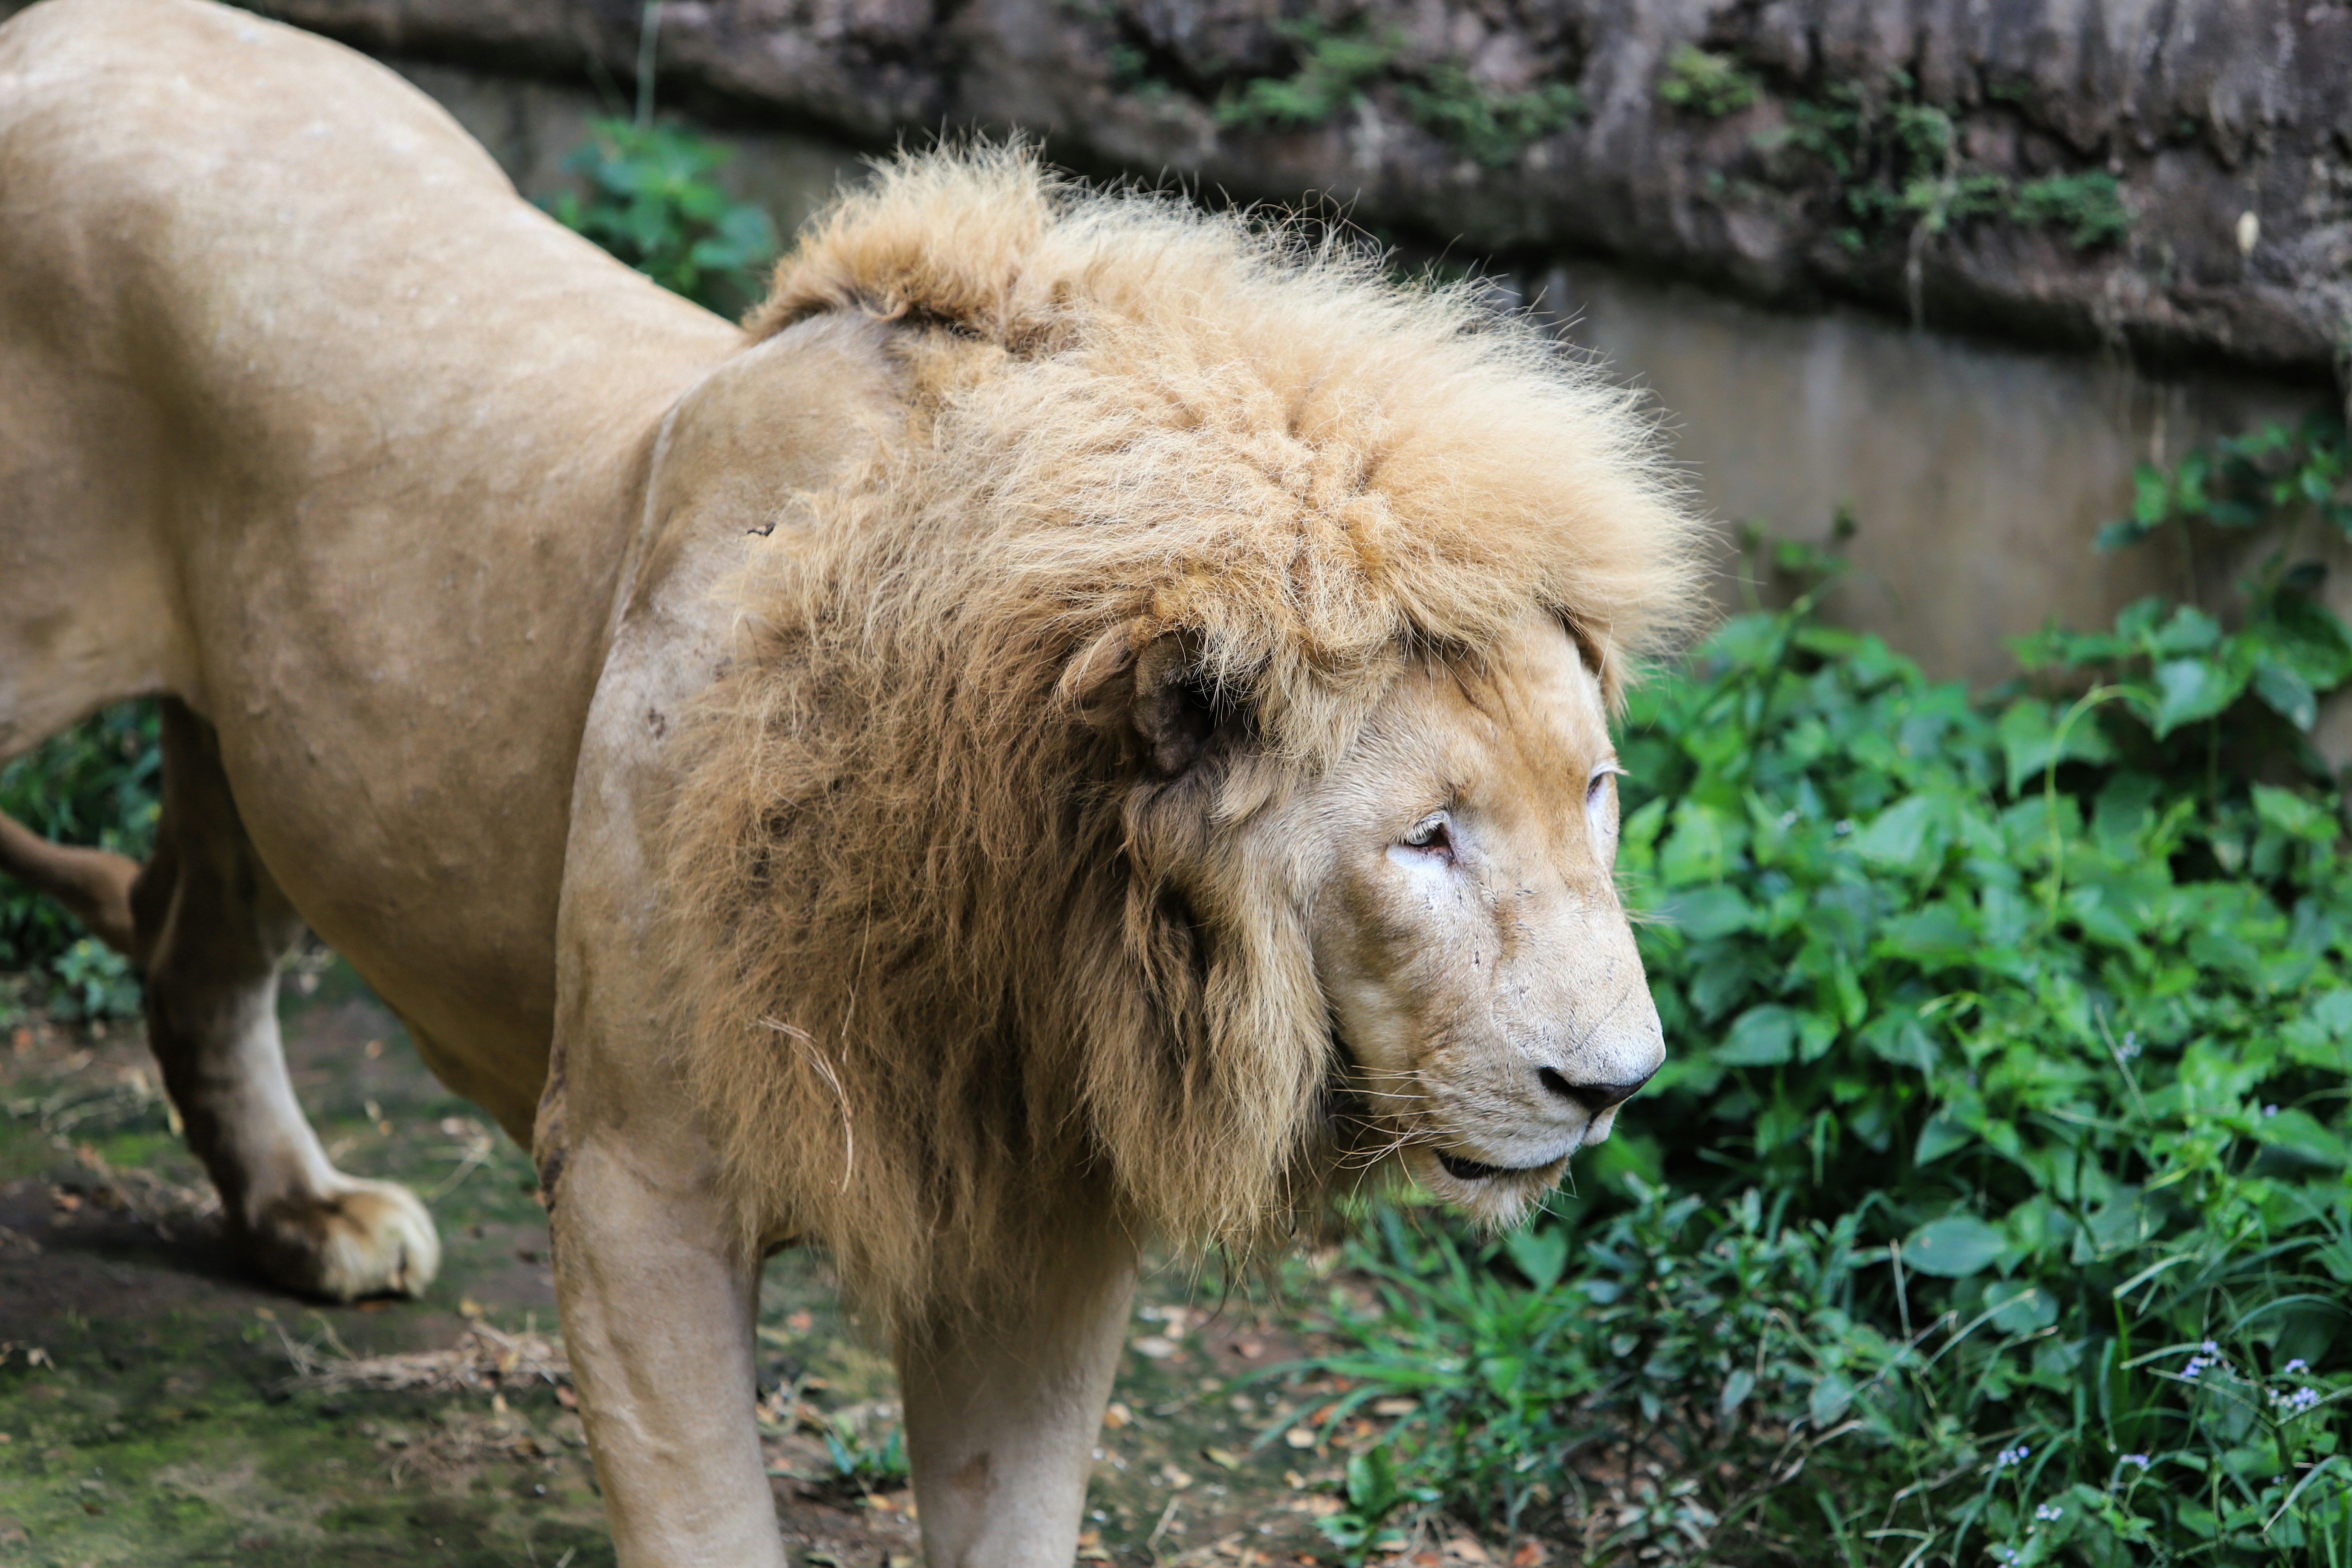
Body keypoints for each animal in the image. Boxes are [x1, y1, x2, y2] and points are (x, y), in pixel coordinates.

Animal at [0, 1, 1705, 1562]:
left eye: (1598, 793)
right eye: (1429, 838)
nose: (1618, 1084)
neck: (1029, 898)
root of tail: (69, 28)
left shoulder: (1034, 1219)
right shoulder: (636, 1183)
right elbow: (705, 1519)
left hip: (260, 747)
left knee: (191, 952)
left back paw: (306, 1218)